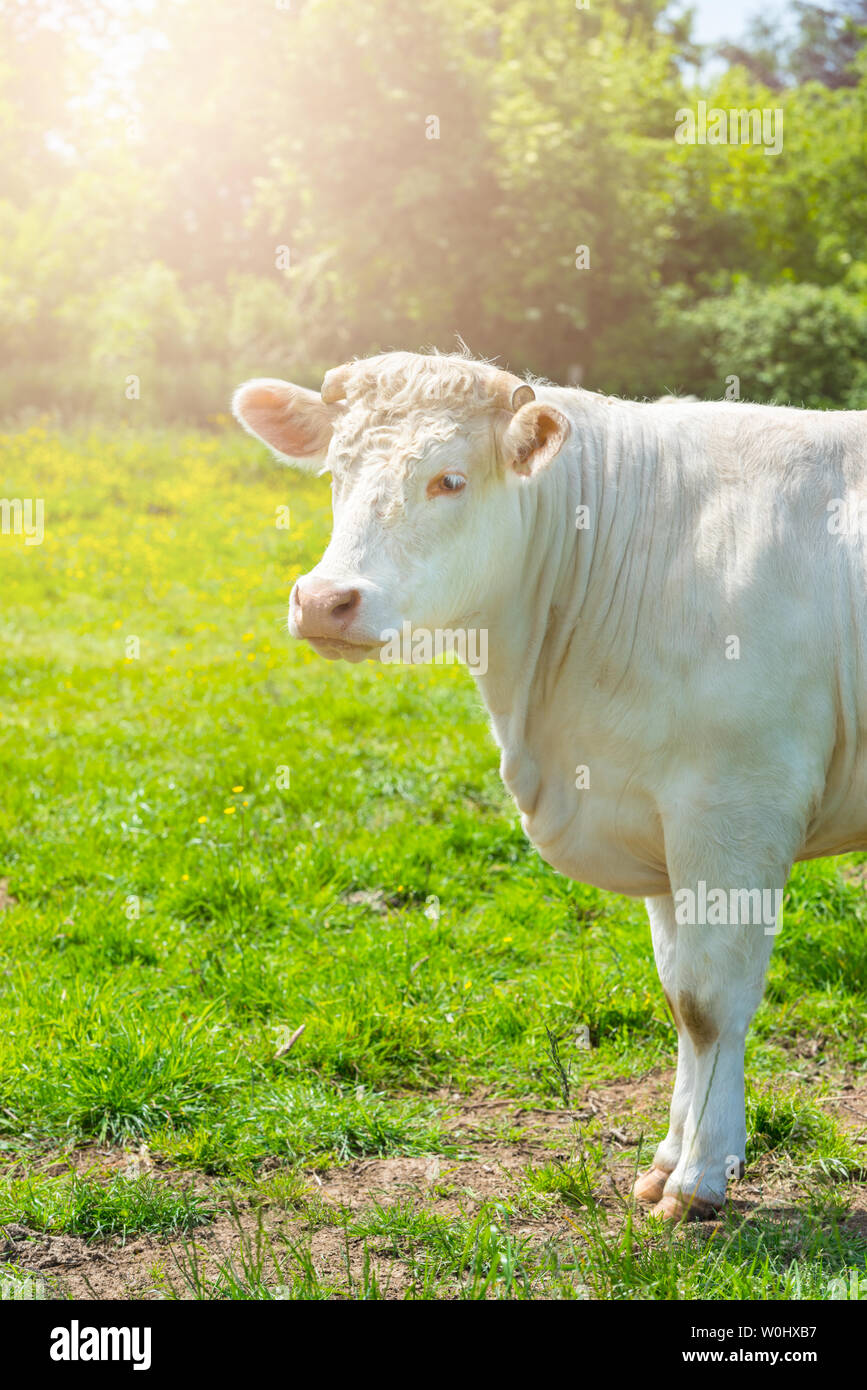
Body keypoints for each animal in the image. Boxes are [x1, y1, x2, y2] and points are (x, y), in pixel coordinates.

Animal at [233, 351, 867, 1221]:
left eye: (450, 479)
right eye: (335, 472)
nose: (324, 600)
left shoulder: (735, 806)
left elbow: (709, 1002)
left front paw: (699, 1179)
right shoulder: (657, 818)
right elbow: (677, 996)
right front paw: (666, 1159)